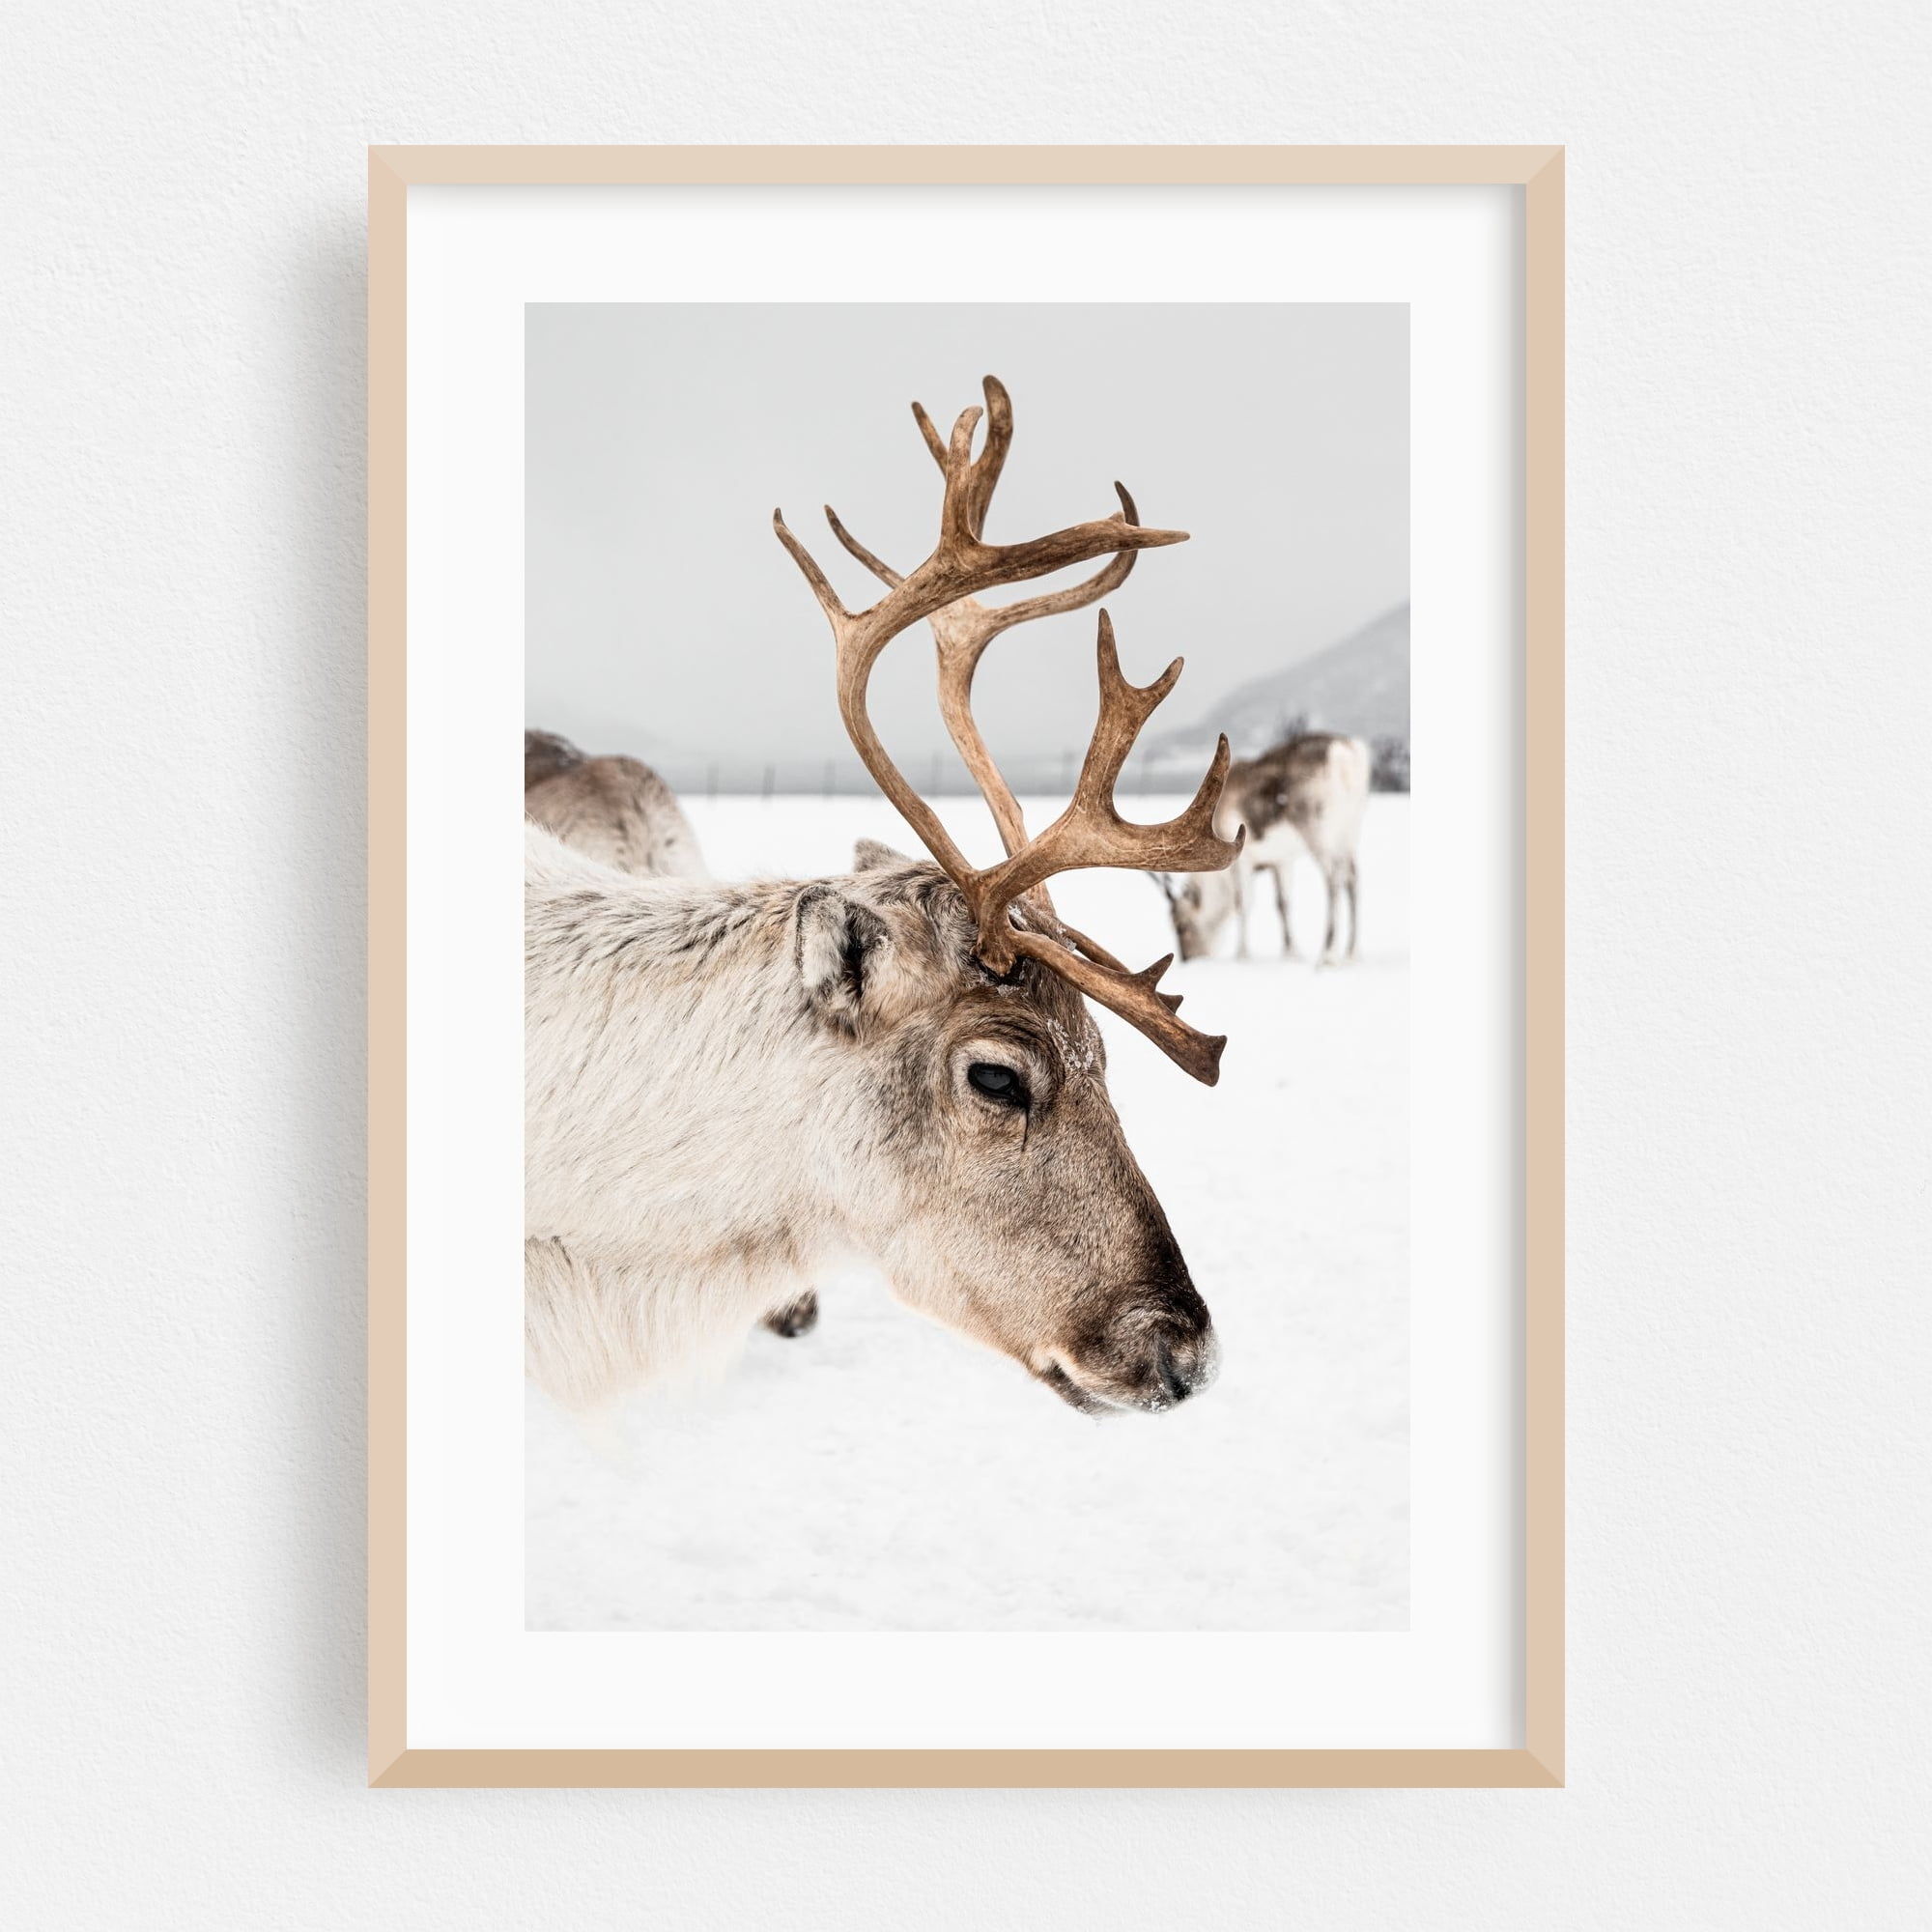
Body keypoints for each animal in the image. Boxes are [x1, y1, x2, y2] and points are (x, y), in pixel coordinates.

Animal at [1153, 732, 1370, 966]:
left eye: (1181, 925)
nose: (1189, 958)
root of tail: (1345, 753)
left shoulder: (1242, 860)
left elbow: (1243, 902)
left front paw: (1242, 955)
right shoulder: (1281, 860)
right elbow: (1283, 903)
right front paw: (1291, 953)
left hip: (1319, 832)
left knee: (1333, 880)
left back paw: (1328, 954)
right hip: (1350, 831)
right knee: (1353, 878)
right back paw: (1352, 952)